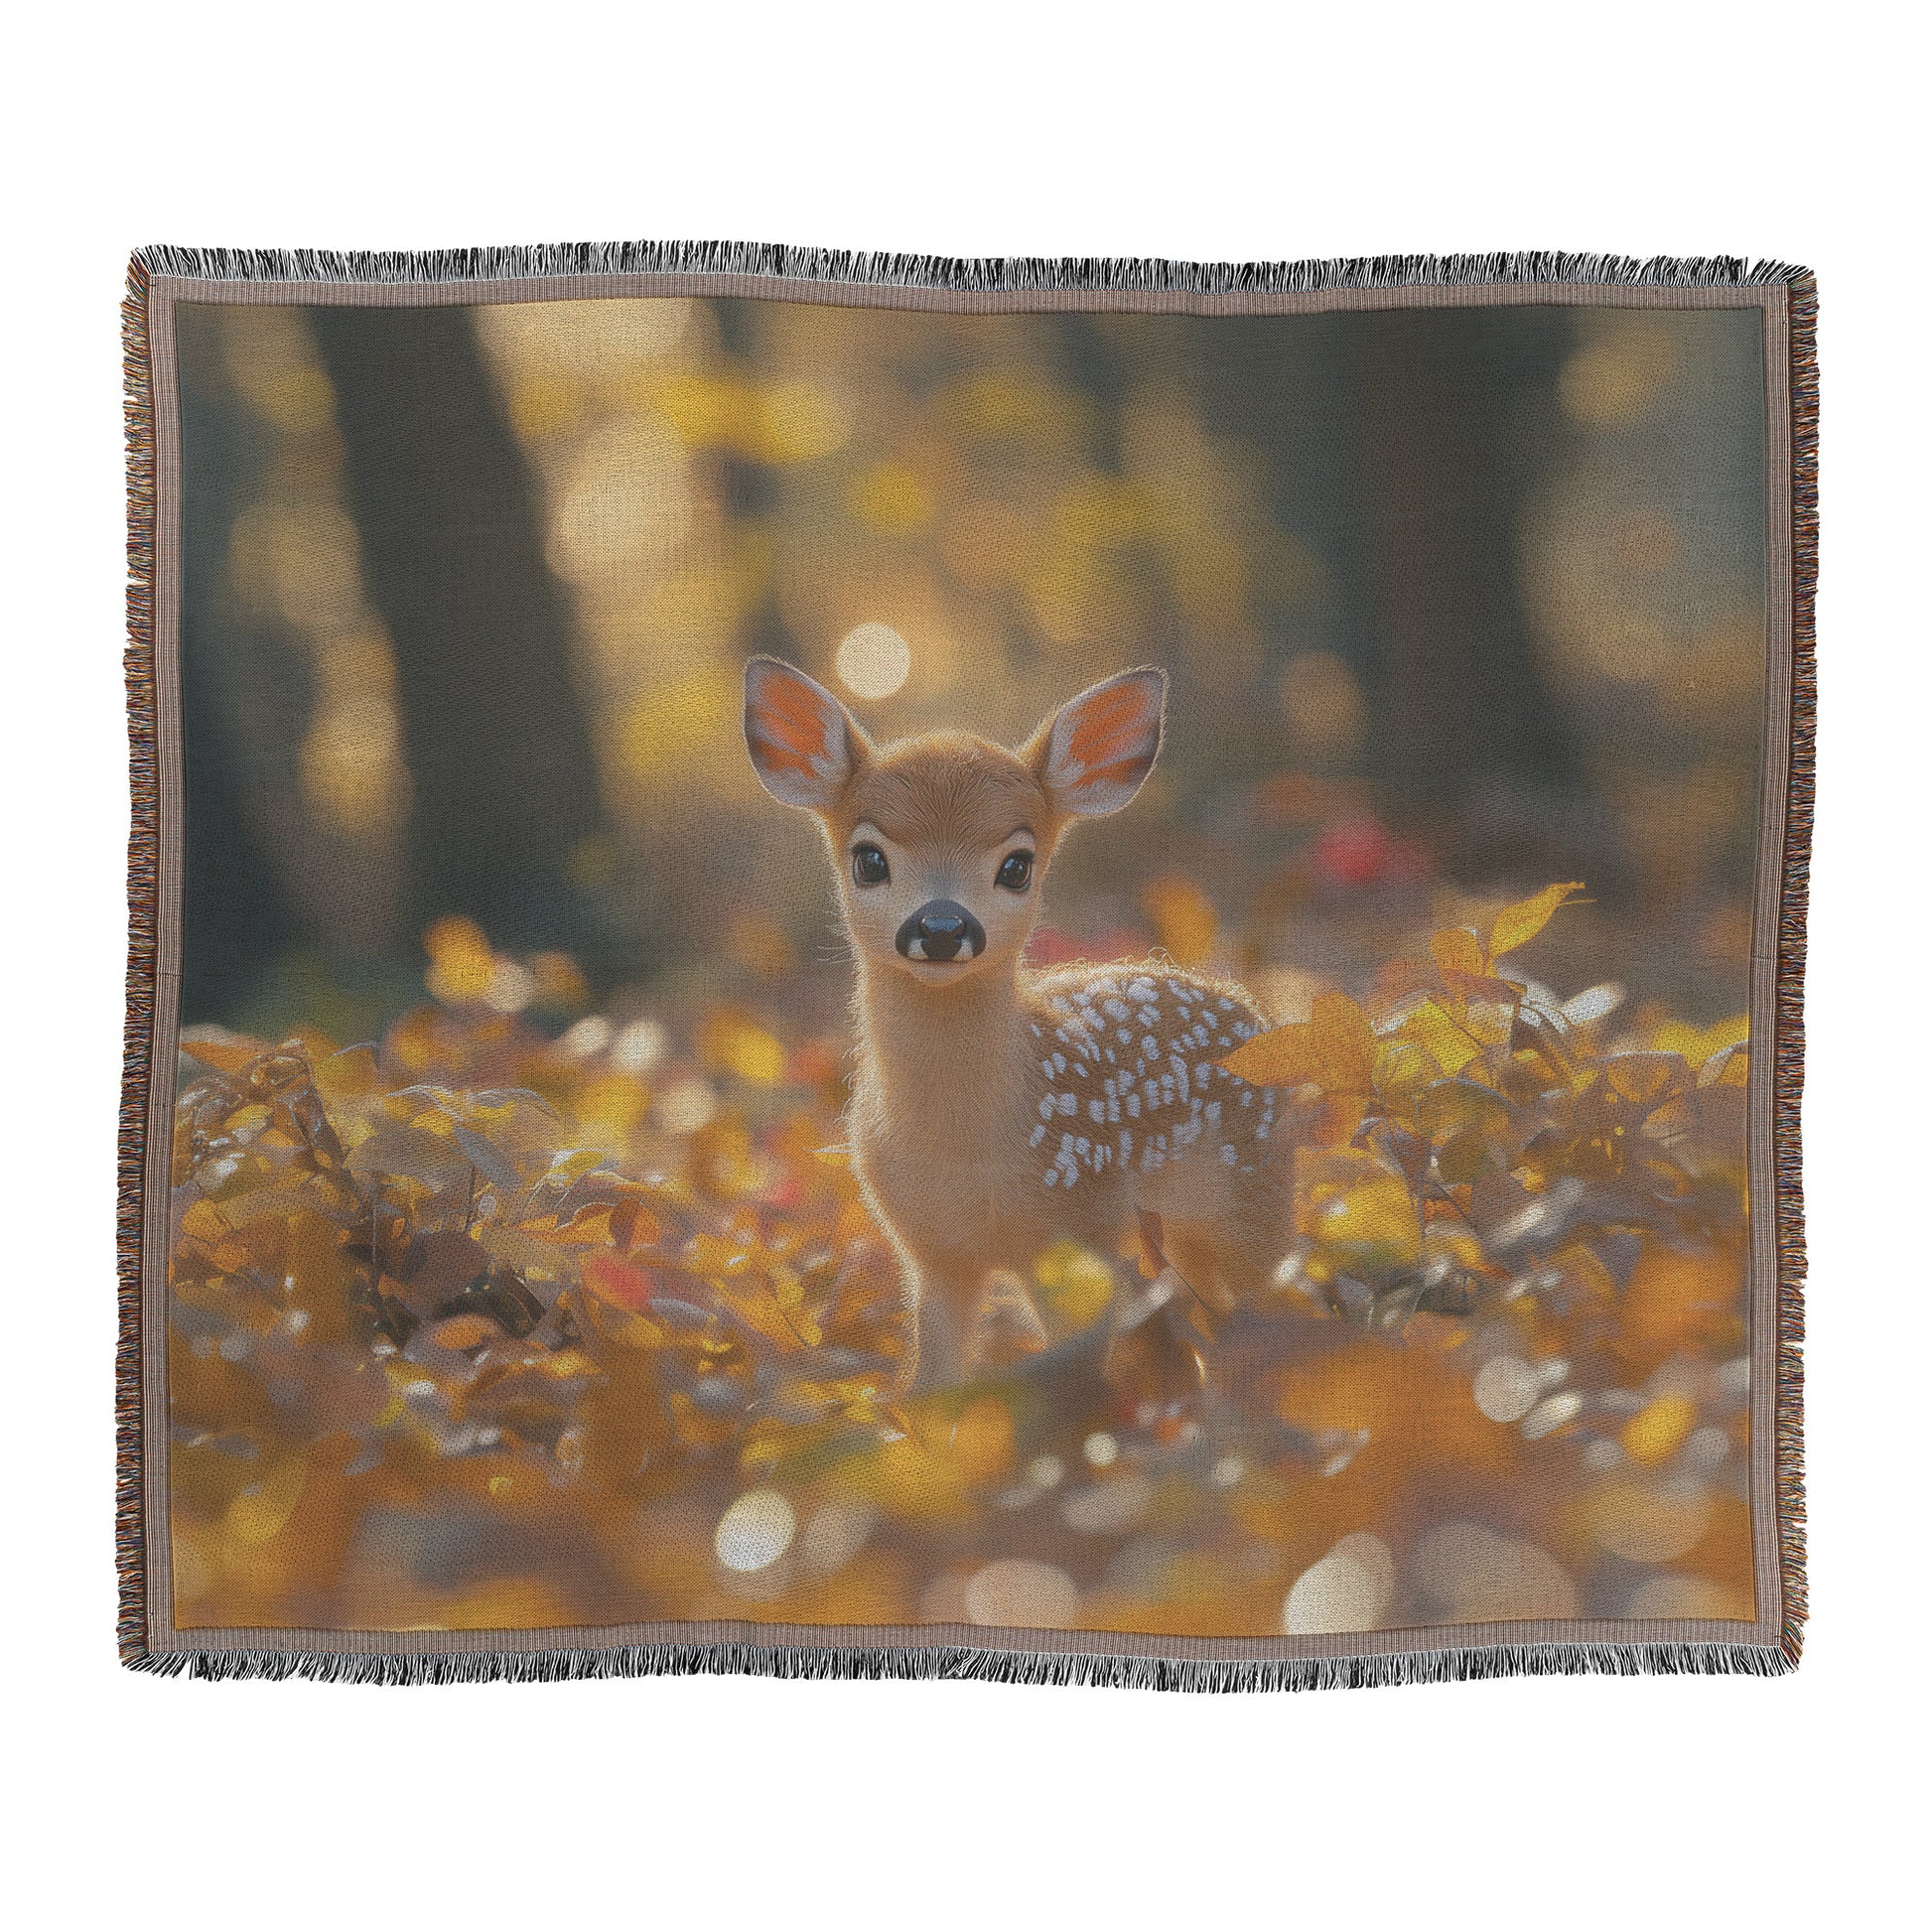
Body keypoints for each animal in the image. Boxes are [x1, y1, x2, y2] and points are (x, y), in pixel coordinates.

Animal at [743, 655, 1291, 1394]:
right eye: (869, 858)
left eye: (1016, 865)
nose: (941, 926)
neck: (966, 1157)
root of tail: (1249, 1006)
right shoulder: (930, 1250)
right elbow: (930, 1385)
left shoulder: (1076, 1227)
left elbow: (1077, 1374)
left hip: (1250, 1199)